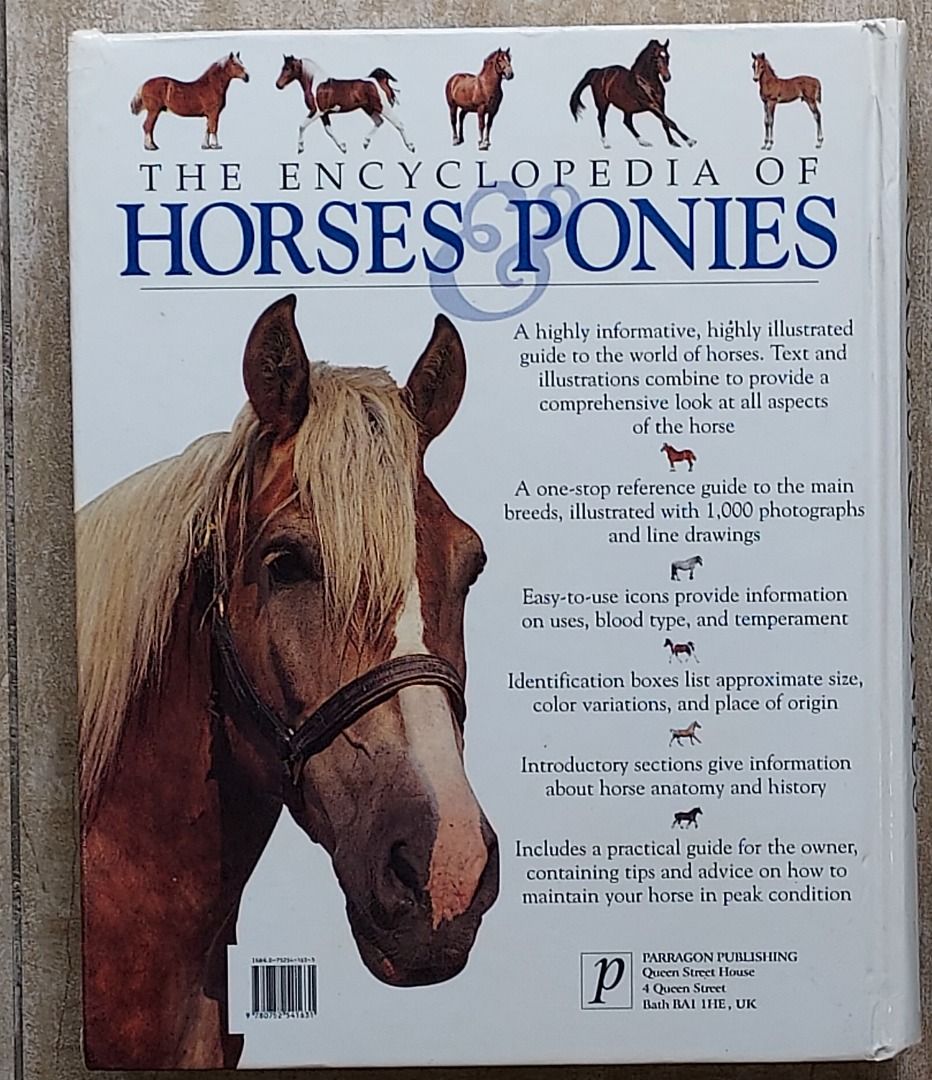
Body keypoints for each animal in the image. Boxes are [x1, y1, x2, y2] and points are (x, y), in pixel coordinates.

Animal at [275, 55, 414, 155]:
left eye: (287, 68)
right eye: (283, 67)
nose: (278, 85)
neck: (316, 85)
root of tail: (378, 80)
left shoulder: (316, 111)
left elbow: (302, 126)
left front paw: (300, 148)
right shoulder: (324, 114)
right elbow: (329, 131)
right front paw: (343, 147)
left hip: (383, 108)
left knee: (399, 124)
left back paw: (411, 146)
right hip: (368, 108)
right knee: (379, 122)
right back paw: (365, 142)